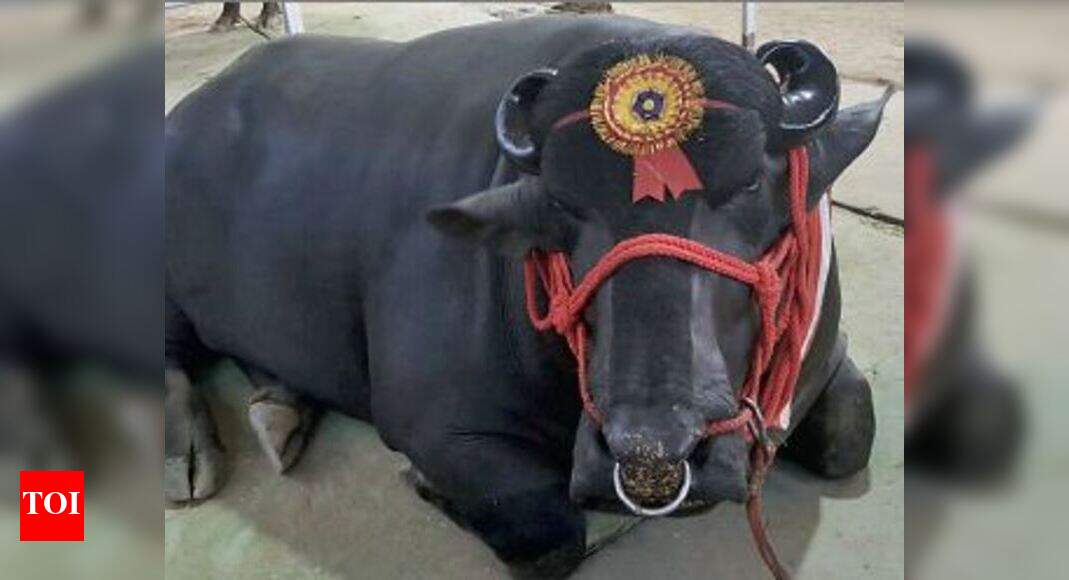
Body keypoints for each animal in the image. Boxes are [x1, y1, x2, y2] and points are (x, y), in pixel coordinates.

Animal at [165, 16, 888, 577]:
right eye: (562, 206)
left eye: (750, 184)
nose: (652, 449)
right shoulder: (433, 423)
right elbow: (550, 535)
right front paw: (426, 484)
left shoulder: (825, 355)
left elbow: (851, 434)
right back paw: (188, 457)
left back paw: (279, 412)